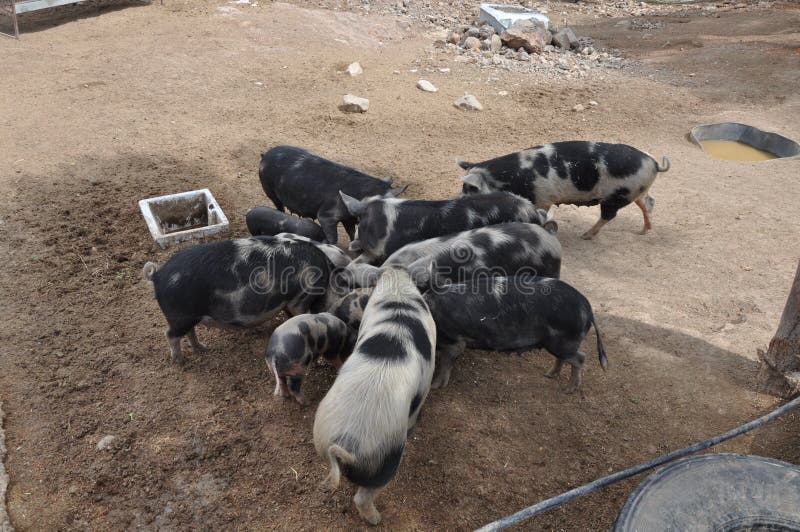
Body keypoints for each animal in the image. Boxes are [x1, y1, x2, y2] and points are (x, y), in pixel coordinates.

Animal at [142, 236, 333, 363]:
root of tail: (157, 276)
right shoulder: (300, 298)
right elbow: (301, 315)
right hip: (181, 315)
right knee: (170, 335)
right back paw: (180, 361)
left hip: (187, 317)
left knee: (188, 332)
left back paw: (202, 348)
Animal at [258, 145, 406, 244]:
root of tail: (266, 154)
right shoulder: (326, 215)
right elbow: (333, 237)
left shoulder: (347, 218)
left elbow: (351, 232)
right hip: (268, 189)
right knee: (279, 206)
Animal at [313, 267, 436, 525]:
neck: (398, 296)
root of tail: (346, 443)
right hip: (385, 459)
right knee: (363, 496)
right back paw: (376, 519)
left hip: (321, 438)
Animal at [423, 275, 607, 393]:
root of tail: (587, 308)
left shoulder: (455, 341)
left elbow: (445, 363)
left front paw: (434, 387)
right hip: (559, 343)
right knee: (565, 358)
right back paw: (548, 375)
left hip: (563, 342)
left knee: (580, 358)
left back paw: (568, 390)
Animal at [457, 141, 670, 239]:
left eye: (470, 188)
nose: (457, 200)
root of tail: (653, 163)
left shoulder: (544, 198)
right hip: (635, 191)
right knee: (648, 203)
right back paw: (643, 231)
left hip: (618, 195)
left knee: (609, 215)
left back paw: (585, 235)